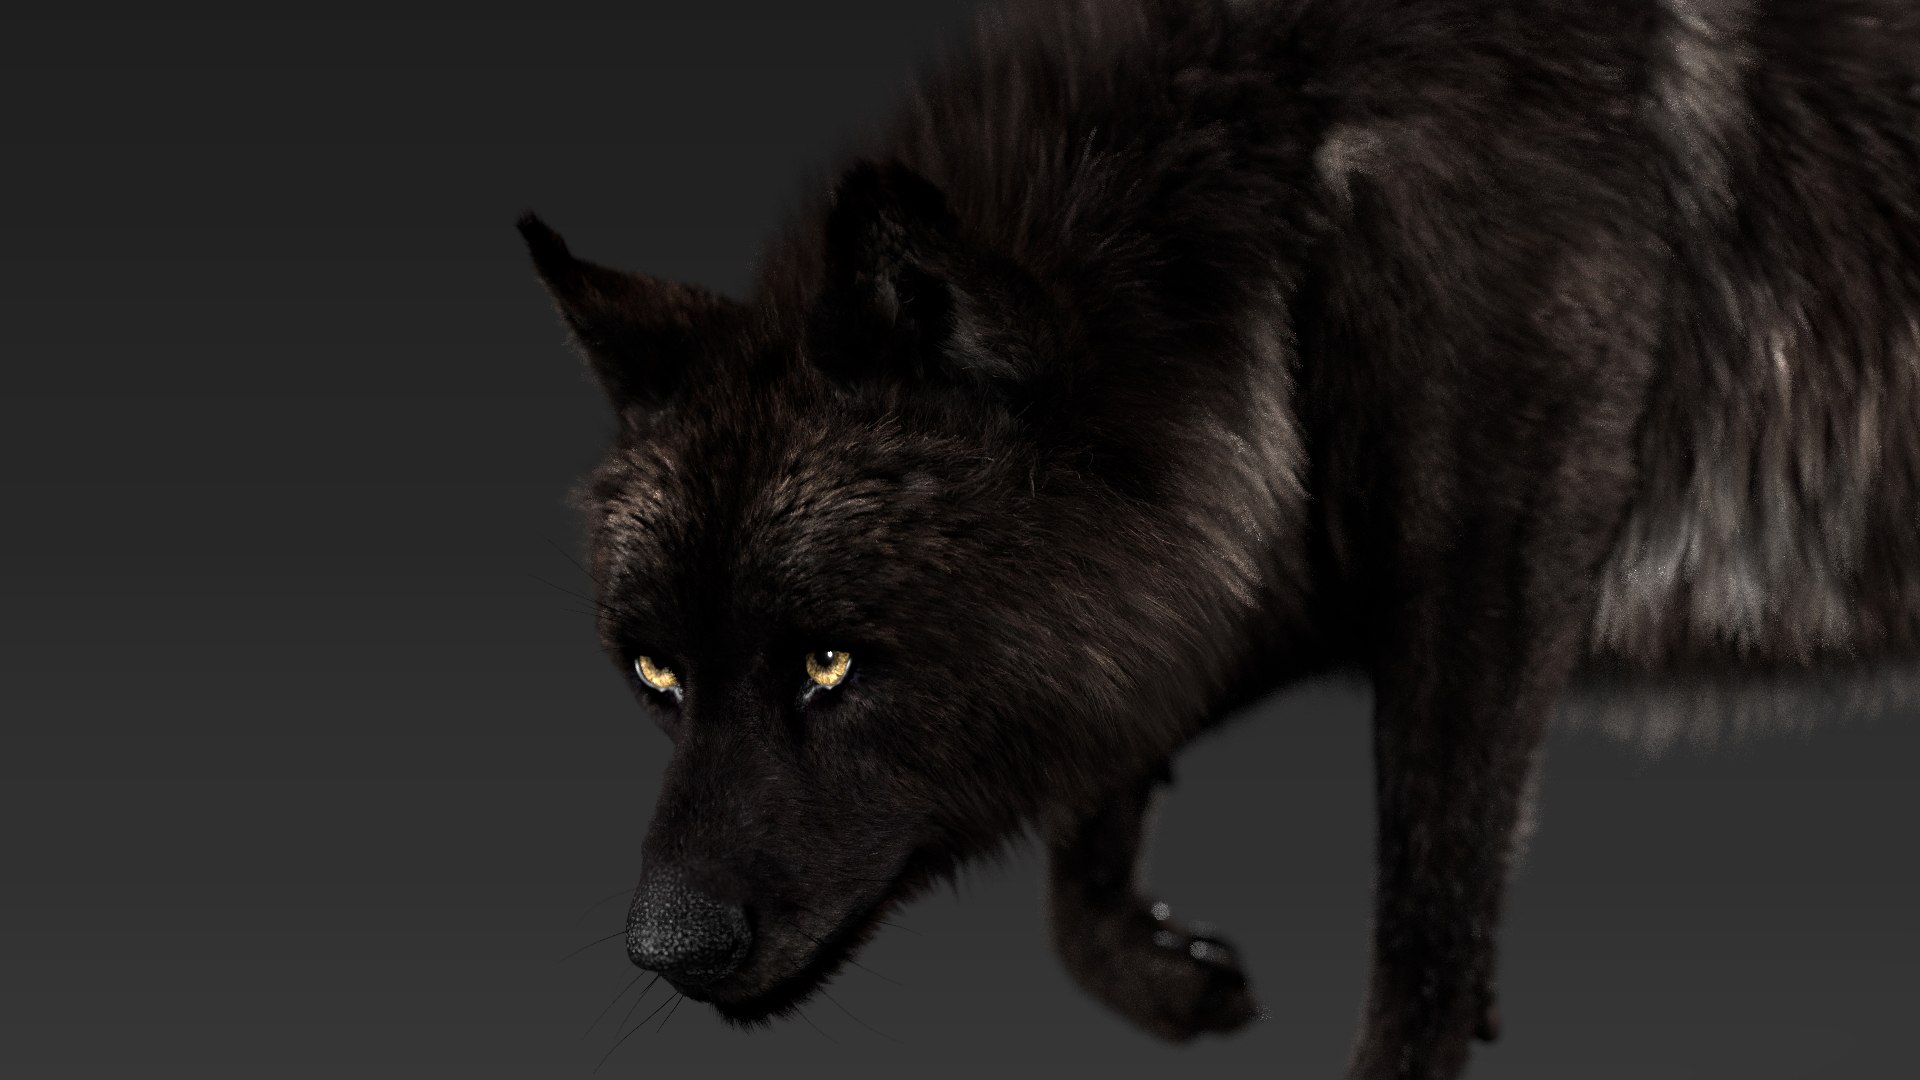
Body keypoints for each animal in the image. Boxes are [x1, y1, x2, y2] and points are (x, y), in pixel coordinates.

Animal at [517, 0, 1920, 1075]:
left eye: (828, 663)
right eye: (657, 675)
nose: (668, 949)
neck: (1280, 189)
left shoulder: (1494, 566)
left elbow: (1428, 901)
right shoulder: (1270, 569)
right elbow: (1104, 784)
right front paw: (1158, 971)